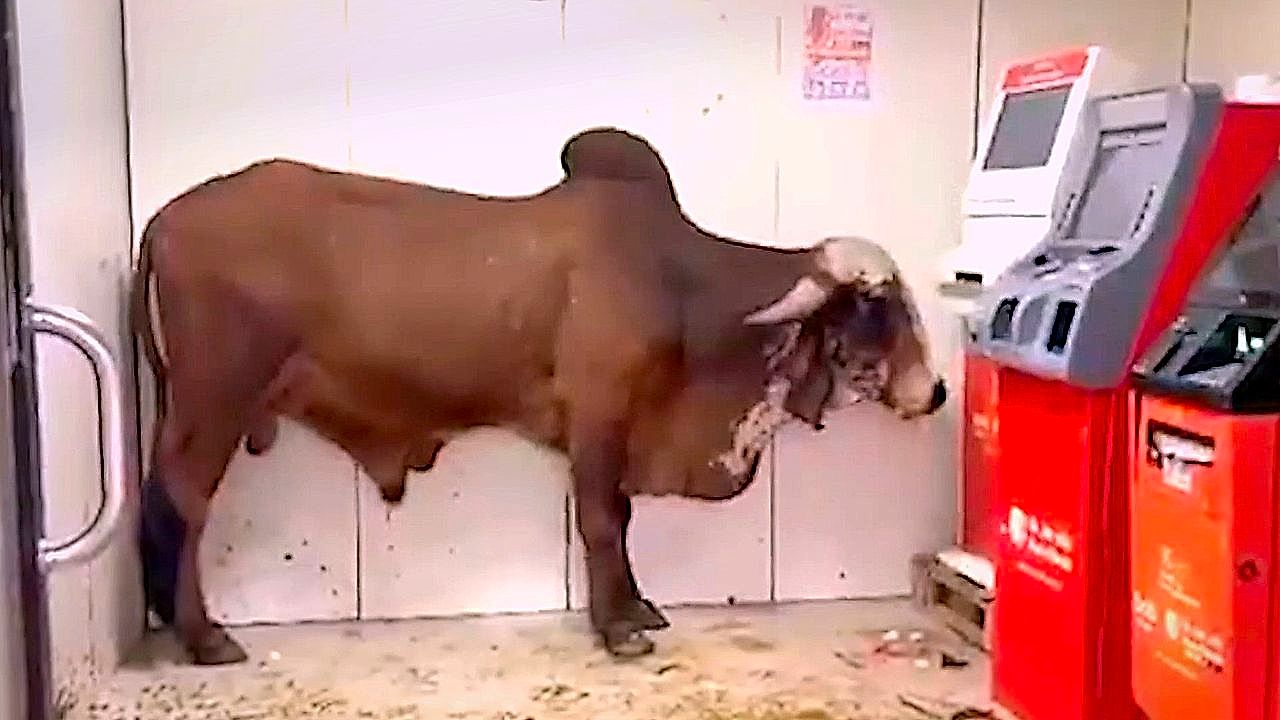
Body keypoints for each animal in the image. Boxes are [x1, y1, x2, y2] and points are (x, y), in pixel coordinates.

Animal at [131, 127, 947, 666]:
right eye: (876, 306)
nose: (935, 391)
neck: (680, 287)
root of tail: (165, 219)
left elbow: (619, 519)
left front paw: (637, 607)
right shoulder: (598, 416)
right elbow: (602, 521)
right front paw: (618, 628)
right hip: (213, 404)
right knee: (185, 506)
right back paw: (203, 638)